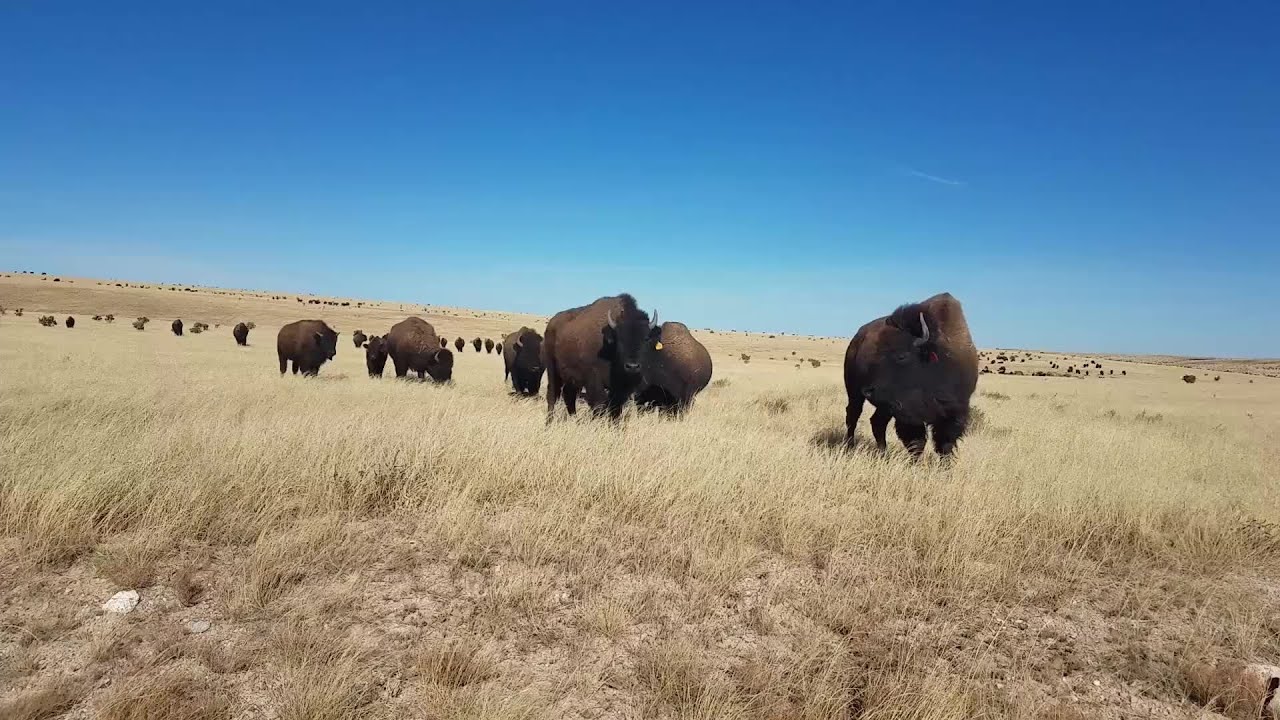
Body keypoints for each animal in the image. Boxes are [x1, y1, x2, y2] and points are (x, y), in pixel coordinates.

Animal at [843, 292, 979, 458]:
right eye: (877, 353)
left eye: (902, 355)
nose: (868, 391)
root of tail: (856, 339)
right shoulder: (908, 414)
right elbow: (917, 442)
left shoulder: (955, 412)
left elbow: (945, 444)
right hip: (854, 392)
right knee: (853, 415)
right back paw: (849, 447)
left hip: (884, 406)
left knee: (877, 422)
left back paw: (883, 454)